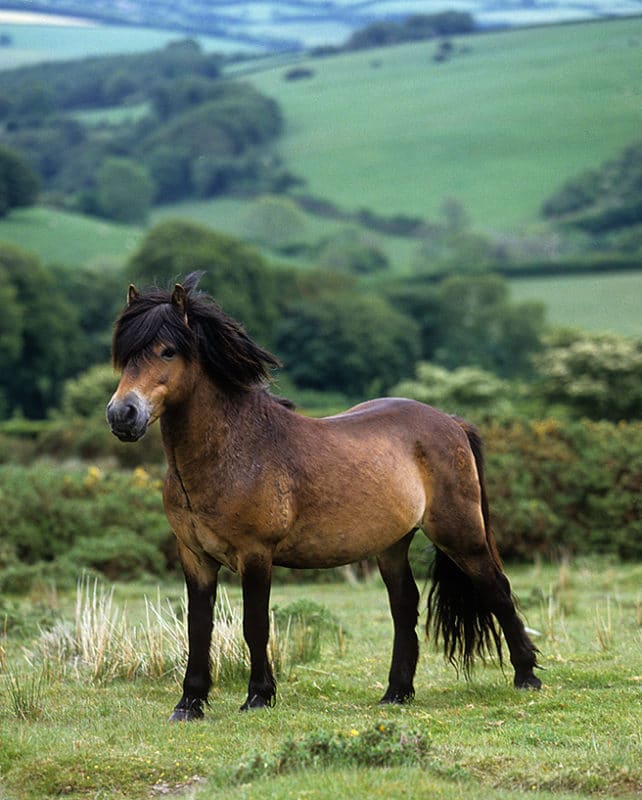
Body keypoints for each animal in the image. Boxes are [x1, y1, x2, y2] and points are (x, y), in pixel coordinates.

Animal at [107, 272, 541, 720]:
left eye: (168, 351)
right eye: (125, 354)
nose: (122, 415)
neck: (232, 452)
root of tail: (451, 422)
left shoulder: (255, 554)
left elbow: (254, 625)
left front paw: (258, 696)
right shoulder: (194, 557)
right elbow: (198, 627)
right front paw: (190, 702)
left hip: (460, 535)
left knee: (496, 589)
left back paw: (527, 676)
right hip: (392, 545)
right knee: (405, 605)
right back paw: (396, 691)